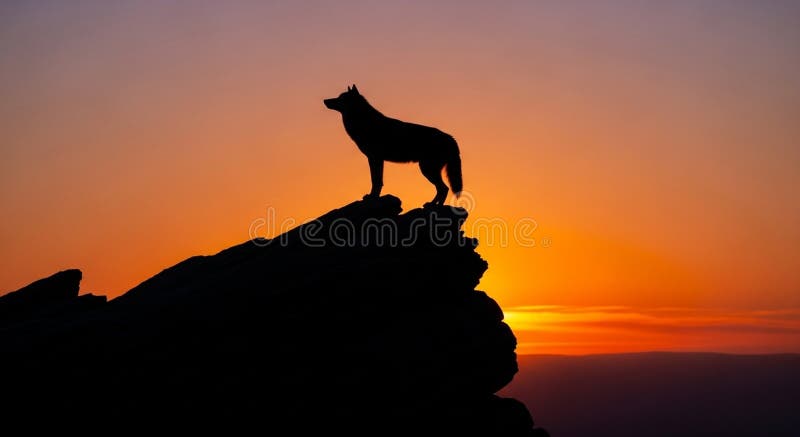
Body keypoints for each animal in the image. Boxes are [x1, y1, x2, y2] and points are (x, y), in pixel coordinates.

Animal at [324, 84, 462, 205]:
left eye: (341, 98)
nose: (325, 100)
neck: (365, 122)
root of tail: (450, 138)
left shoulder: (375, 158)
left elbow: (376, 180)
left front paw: (372, 197)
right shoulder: (376, 159)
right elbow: (378, 180)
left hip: (427, 169)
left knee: (444, 188)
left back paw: (435, 206)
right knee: (443, 189)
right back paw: (433, 205)